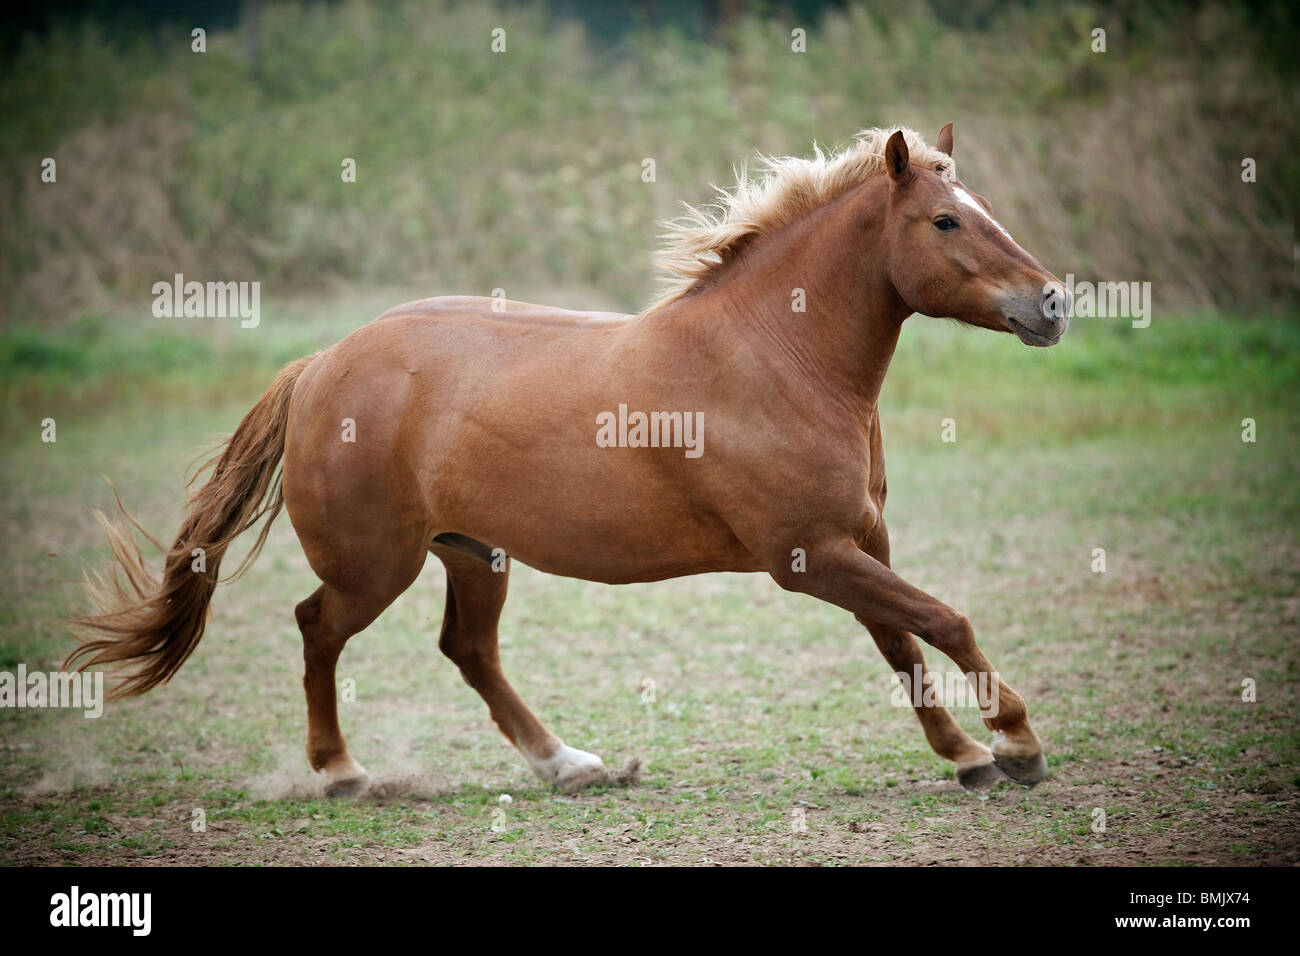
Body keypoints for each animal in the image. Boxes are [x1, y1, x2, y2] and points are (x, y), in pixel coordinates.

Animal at [69, 124, 1068, 796]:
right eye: (945, 221)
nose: (1054, 302)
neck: (774, 358)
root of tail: (321, 367)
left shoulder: (858, 544)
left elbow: (901, 641)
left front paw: (966, 755)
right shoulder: (811, 558)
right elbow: (944, 621)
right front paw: (1015, 745)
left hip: (474, 552)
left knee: (468, 650)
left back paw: (571, 764)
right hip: (375, 565)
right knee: (319, 628)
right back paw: (345, 772)